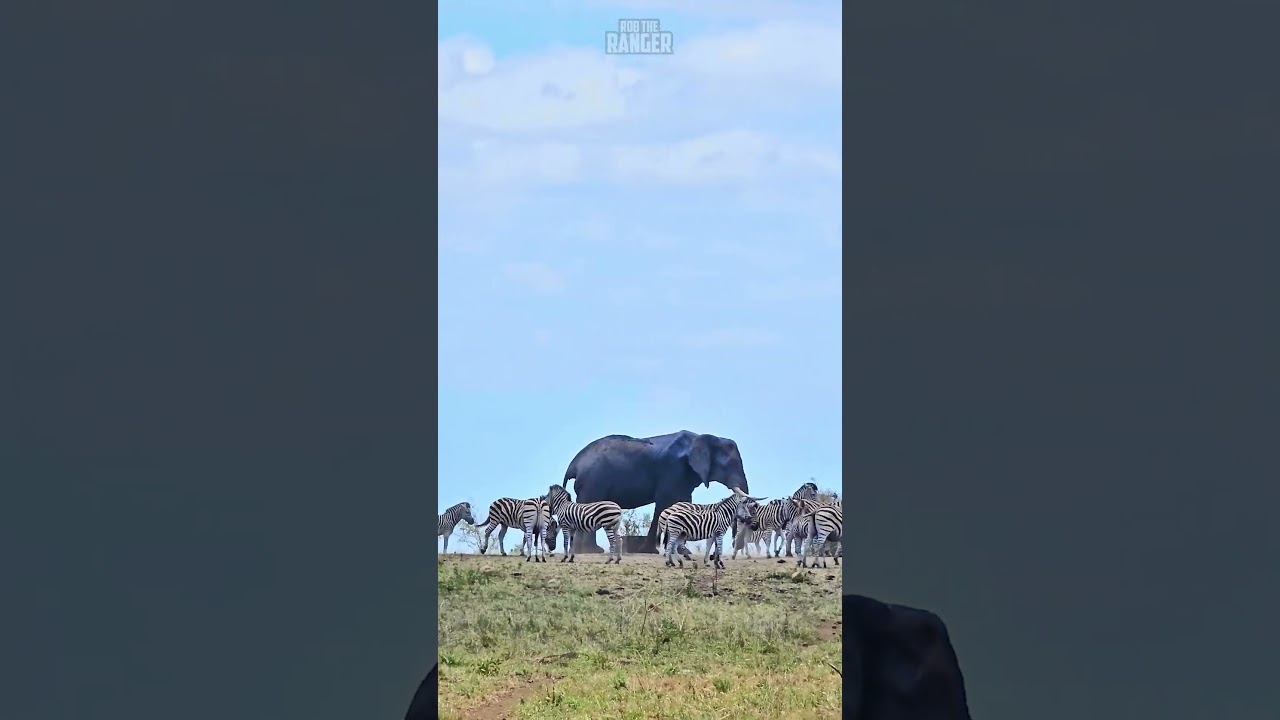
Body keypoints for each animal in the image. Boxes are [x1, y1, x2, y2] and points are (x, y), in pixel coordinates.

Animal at [561, 430, 750, 554]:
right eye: (730, 464)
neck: (700, 438)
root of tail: (573, 464)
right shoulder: (672, 469)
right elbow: (663, 503)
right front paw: (650, 551)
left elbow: (683, 503)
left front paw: (682, 552)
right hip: (594, 481)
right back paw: (593, 551)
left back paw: (585, 551)